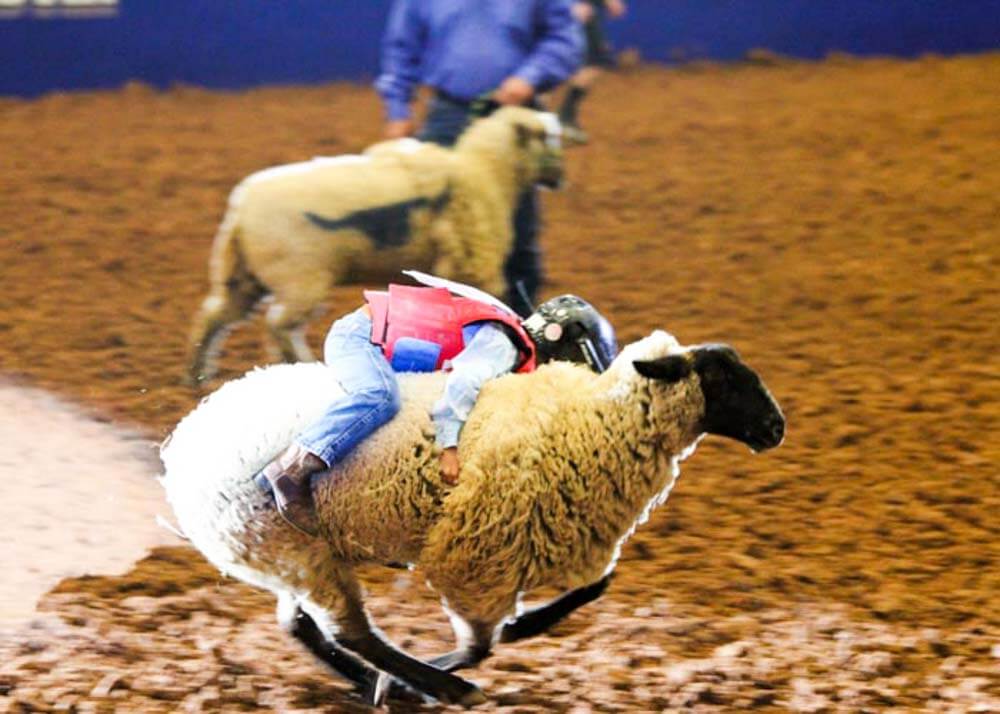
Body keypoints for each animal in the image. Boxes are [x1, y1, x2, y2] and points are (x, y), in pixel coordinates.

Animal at [160, 330, 785, 705]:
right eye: (721, 376)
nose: (776, 428)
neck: (591, 422)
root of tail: (183, 445)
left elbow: (594, 587)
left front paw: (523, 627)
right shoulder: (479, 556)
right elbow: (480, 644)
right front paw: (452, 671)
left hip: (295, 553)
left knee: (302, 627)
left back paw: (378, 684)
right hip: (294, 548)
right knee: (350, 632)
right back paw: (424, 685)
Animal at [186, 107, 565, 386]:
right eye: (546, 137)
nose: (561, 178)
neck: (486, 174)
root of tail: (241, 208)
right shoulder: (471, 270)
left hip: (245, 277)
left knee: (216, 314)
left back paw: (196, 374)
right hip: (299, 279)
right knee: (278, 324)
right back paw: (302, 364)